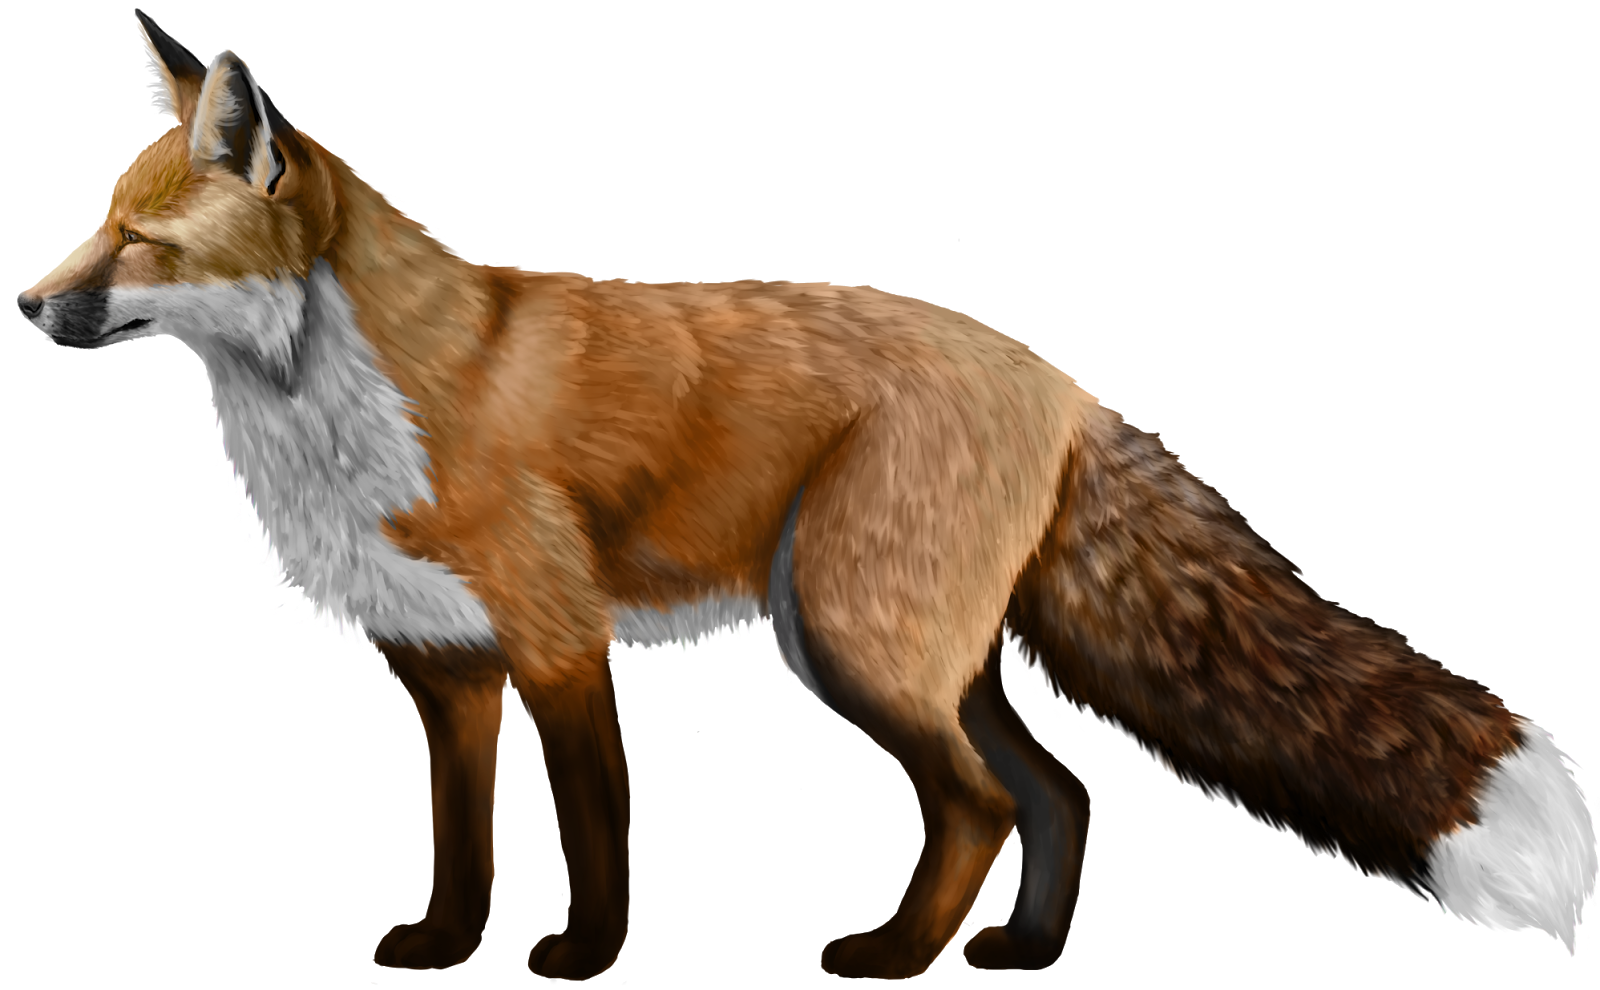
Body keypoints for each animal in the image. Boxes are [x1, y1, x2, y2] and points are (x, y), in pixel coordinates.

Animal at [18, 10, 1596, 980]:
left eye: (143, 245)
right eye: (98, 224)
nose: (28, 306)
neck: (347, 408)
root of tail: (1057, 375)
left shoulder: (557, 642)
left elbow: (593, 831)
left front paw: (584, 958)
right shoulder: (446, 670)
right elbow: (463, 841)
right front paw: (446, 946)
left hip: (848, 643)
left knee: (980, 805)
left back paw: (895, 958)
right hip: (916, 653)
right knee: (1063, 794)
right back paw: (1020, 953)